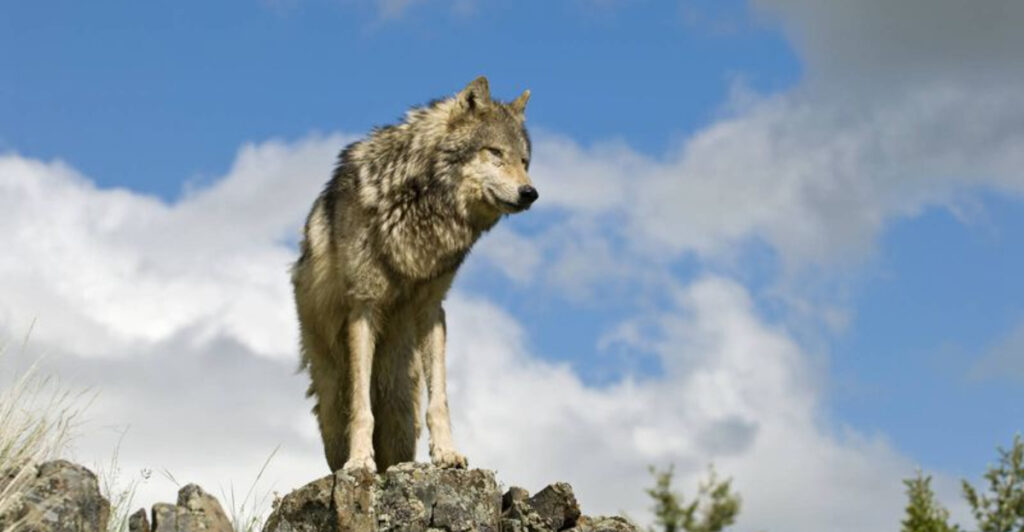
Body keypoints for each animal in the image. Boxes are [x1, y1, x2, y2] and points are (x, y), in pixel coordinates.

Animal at [291, 77, 536, 473]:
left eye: (524, 161)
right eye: (495, 152)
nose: (531, 192)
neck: (421, 204)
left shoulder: (432, 309)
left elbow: (440, 401)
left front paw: (447, 453)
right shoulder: (364, 306)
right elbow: (361, 408)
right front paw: (360, 461)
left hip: (400, 404)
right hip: (331, 397)